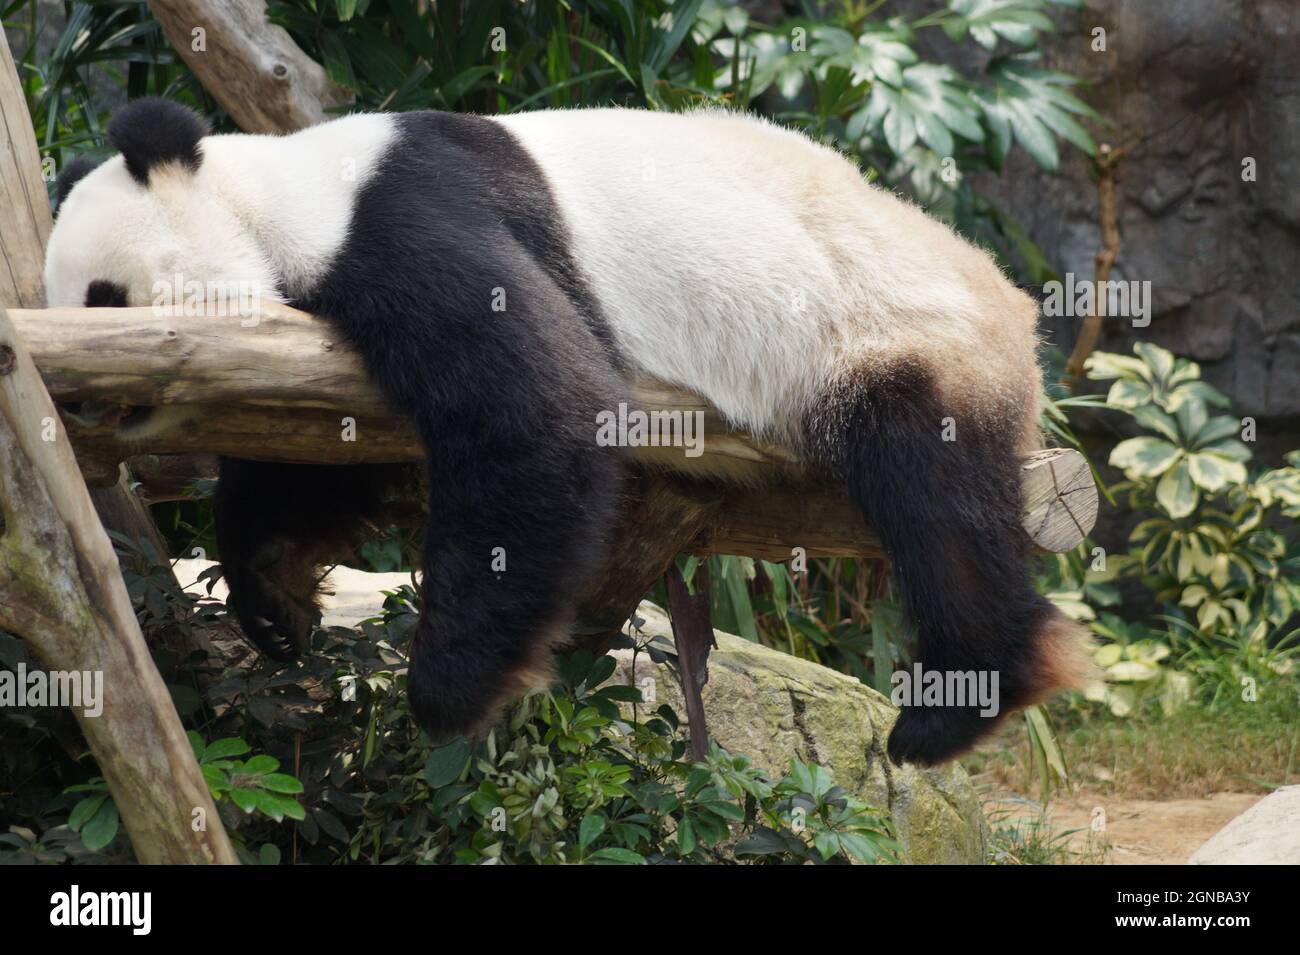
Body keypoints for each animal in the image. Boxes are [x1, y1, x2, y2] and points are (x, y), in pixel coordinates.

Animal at [44, 97, 1091, 766]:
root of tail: (1016, 315)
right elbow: (321, 462)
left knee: (931, 492)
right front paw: (271, 596)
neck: (276, 189)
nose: (88, 403)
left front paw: (452, 690)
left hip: (896, 330)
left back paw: (964, 699)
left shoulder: (406, 219)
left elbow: (538, 410)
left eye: (103, 296)